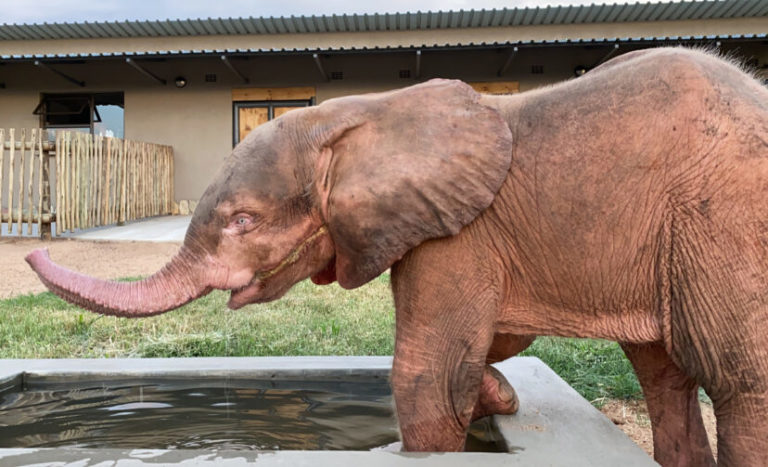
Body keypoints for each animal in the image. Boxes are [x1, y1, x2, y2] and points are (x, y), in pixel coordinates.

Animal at [26, 47, 768, 466]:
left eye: (244, 221)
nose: (33, 248)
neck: (358, 115)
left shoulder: (459, 235)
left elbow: (428, 375)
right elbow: (489, 346)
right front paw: (495, 395)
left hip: (723, 223)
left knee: (738, 381)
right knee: (665, 378)